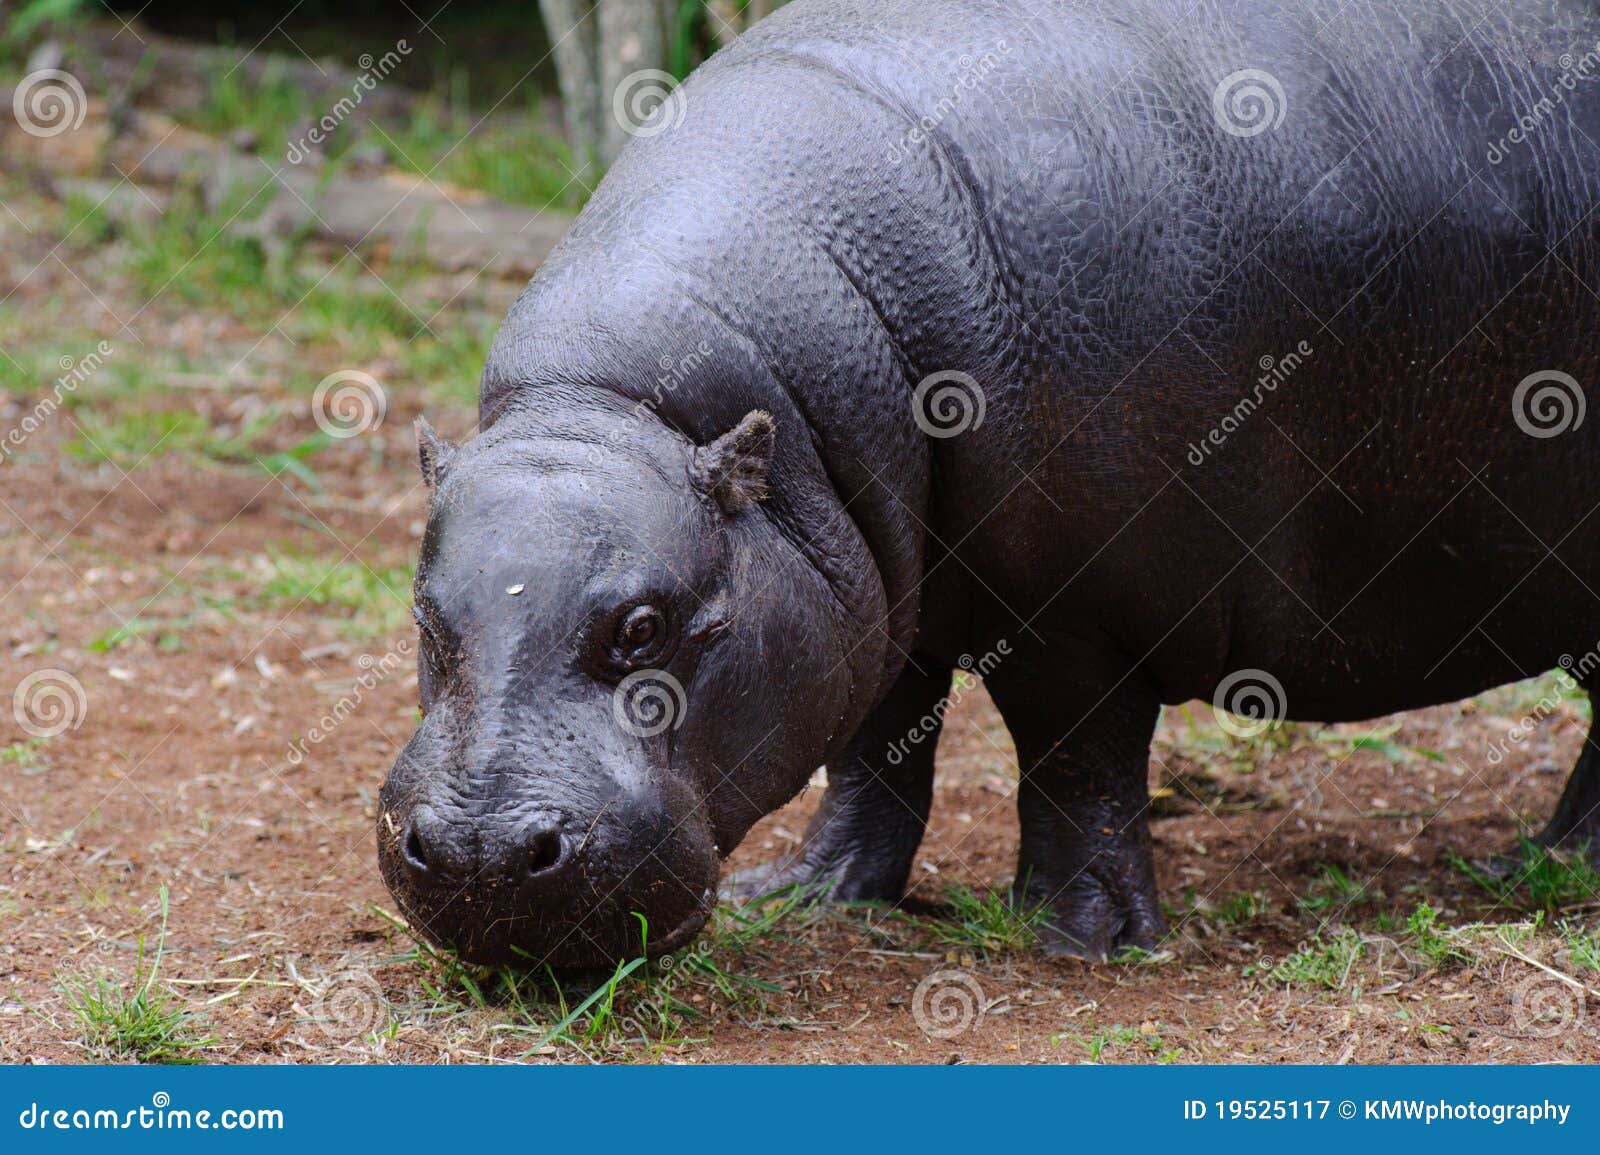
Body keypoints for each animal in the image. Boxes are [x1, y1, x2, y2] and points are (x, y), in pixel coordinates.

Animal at [378, 0, 1600, 965]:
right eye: (425, 617)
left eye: (644, 626)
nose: (484, 853)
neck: (620, 411)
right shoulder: (865, 572)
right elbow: (872, 739)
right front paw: (810, 898)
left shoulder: (1082, 609)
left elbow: (1073, 757)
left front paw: (1076, 941)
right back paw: (1543, 864)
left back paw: (1541, 872)